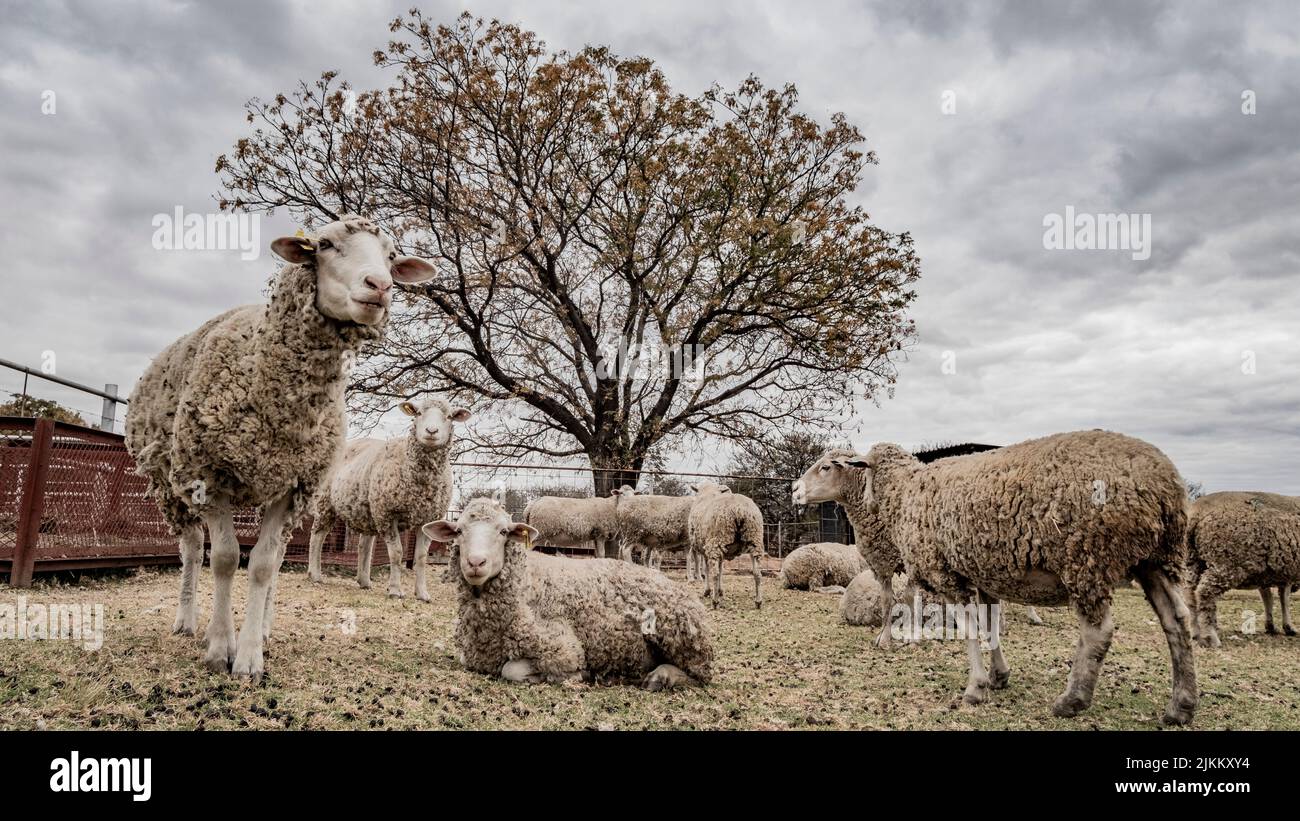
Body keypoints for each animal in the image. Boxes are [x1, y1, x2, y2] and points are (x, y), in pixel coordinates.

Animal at [125, 215, 436, 678]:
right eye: (324, 245)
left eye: (392, 256)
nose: (379, 286)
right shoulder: (210, 476)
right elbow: (224, 559)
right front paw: (220, 647)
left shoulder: (291, 487)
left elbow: (263, 566)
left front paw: (249, 654)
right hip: (172, 483)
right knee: (192, 547)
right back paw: (187, 619)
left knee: (274, 555)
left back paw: (265, 626)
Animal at [306, 396, 469, 600]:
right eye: (418, 413)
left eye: (449, 416)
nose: (431, 431)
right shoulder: (389, 514)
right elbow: (397, 553)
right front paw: (395, 590)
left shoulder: (427, 519)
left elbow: (421, 557)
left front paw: (422, 593)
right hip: (327, 503)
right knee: (317, 535)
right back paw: (315, 574)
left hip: (368, 509)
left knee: (364, 544)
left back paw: (364, 581)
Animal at [422, 497, 714, 690]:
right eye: (459, 531)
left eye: (503, 531)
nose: (476, 562)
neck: (526, 582)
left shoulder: (562, 647)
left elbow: (511, 669)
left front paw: (576, 675)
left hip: (682, 638)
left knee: (700, 675)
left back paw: (660, 677)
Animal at [800, 430, 1196, 725]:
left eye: (825, 467)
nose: (794, 490)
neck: (904, 492)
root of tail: (1164, 483)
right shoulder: (984, 574)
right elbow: (989, 626)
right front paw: (998, 676)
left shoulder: (947, 574)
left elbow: (970, 629)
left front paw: (975, 688)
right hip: (1156, 559)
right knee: (1177, 620)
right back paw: (1181, 706)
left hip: (1088, 559)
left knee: (1099, 632)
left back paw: (1072, 700)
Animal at [1184, 491, 1300, 647]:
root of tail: (1197, 512)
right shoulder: (1286, 575)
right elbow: (1284, 599)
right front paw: (1289, 627)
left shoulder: (1266, 576)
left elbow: (1269, 598)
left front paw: (1271, 626)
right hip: (1226, 562)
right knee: (1204, 593)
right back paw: (1211, 637)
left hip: (1193, 560)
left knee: (1190, 594)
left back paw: (1196, 635)